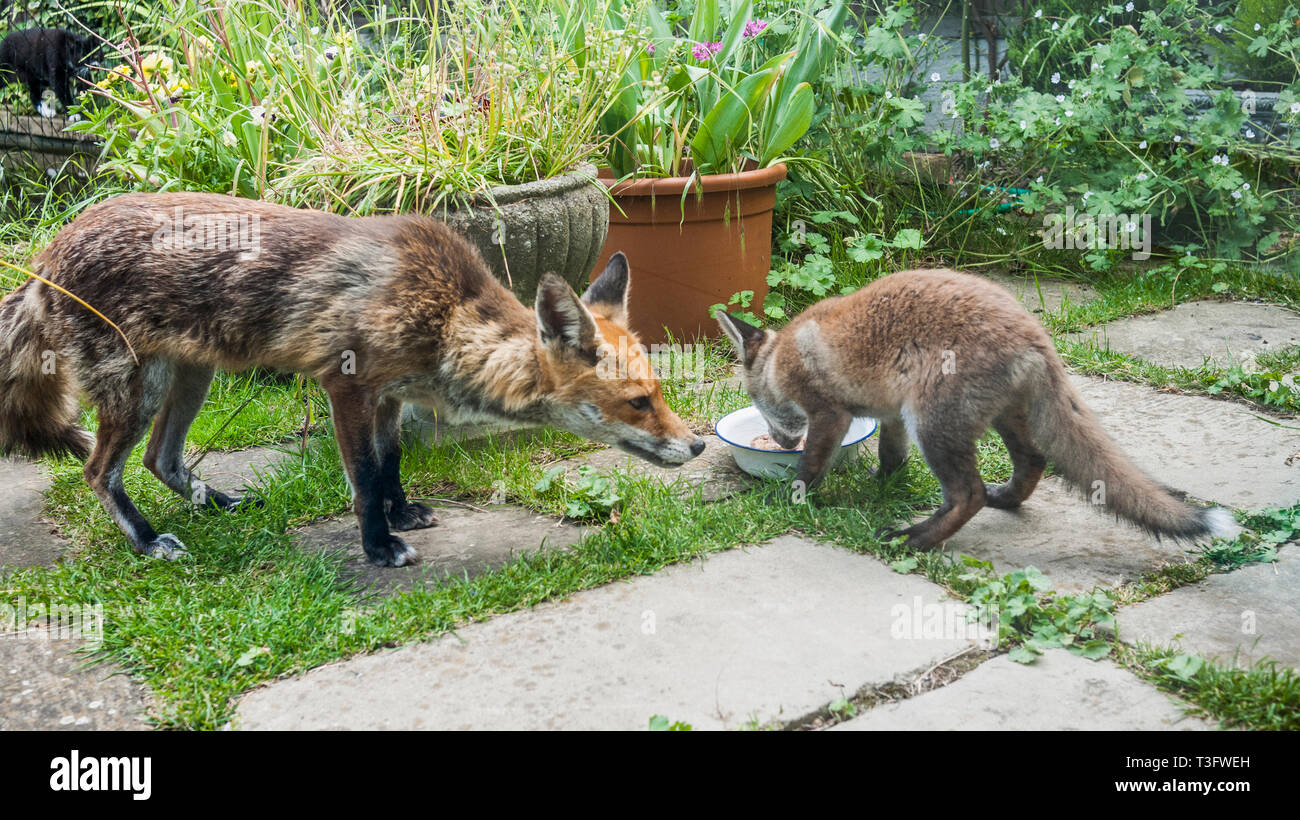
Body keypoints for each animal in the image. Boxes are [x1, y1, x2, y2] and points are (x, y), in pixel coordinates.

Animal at [0, 192, 705, 566]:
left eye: (661, 393)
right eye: (638, 402)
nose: (697, 444)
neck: (445, 311)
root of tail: (45, 253)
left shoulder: (392, 396)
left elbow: (391, 464)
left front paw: (404, 512)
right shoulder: (348, 387)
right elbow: (363, 477)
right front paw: (379, 544)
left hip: (193, 377)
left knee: (160, 459)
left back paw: (218, 503)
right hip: (138, 389)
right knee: (100, 471)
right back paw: (148, 540)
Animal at [717, 269, 1241, 549]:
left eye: (758, 405)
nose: (777, 440)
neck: (784, 357)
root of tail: (1035, 332)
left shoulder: (831, 414)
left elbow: (810, 467)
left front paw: (789, 496)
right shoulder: (892, 416)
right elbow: (891, 460)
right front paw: (880, 487)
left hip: (934, 424)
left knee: (966, 495)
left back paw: (917, 540)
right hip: (998, 417)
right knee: (1034, 460)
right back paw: (1002, 499)